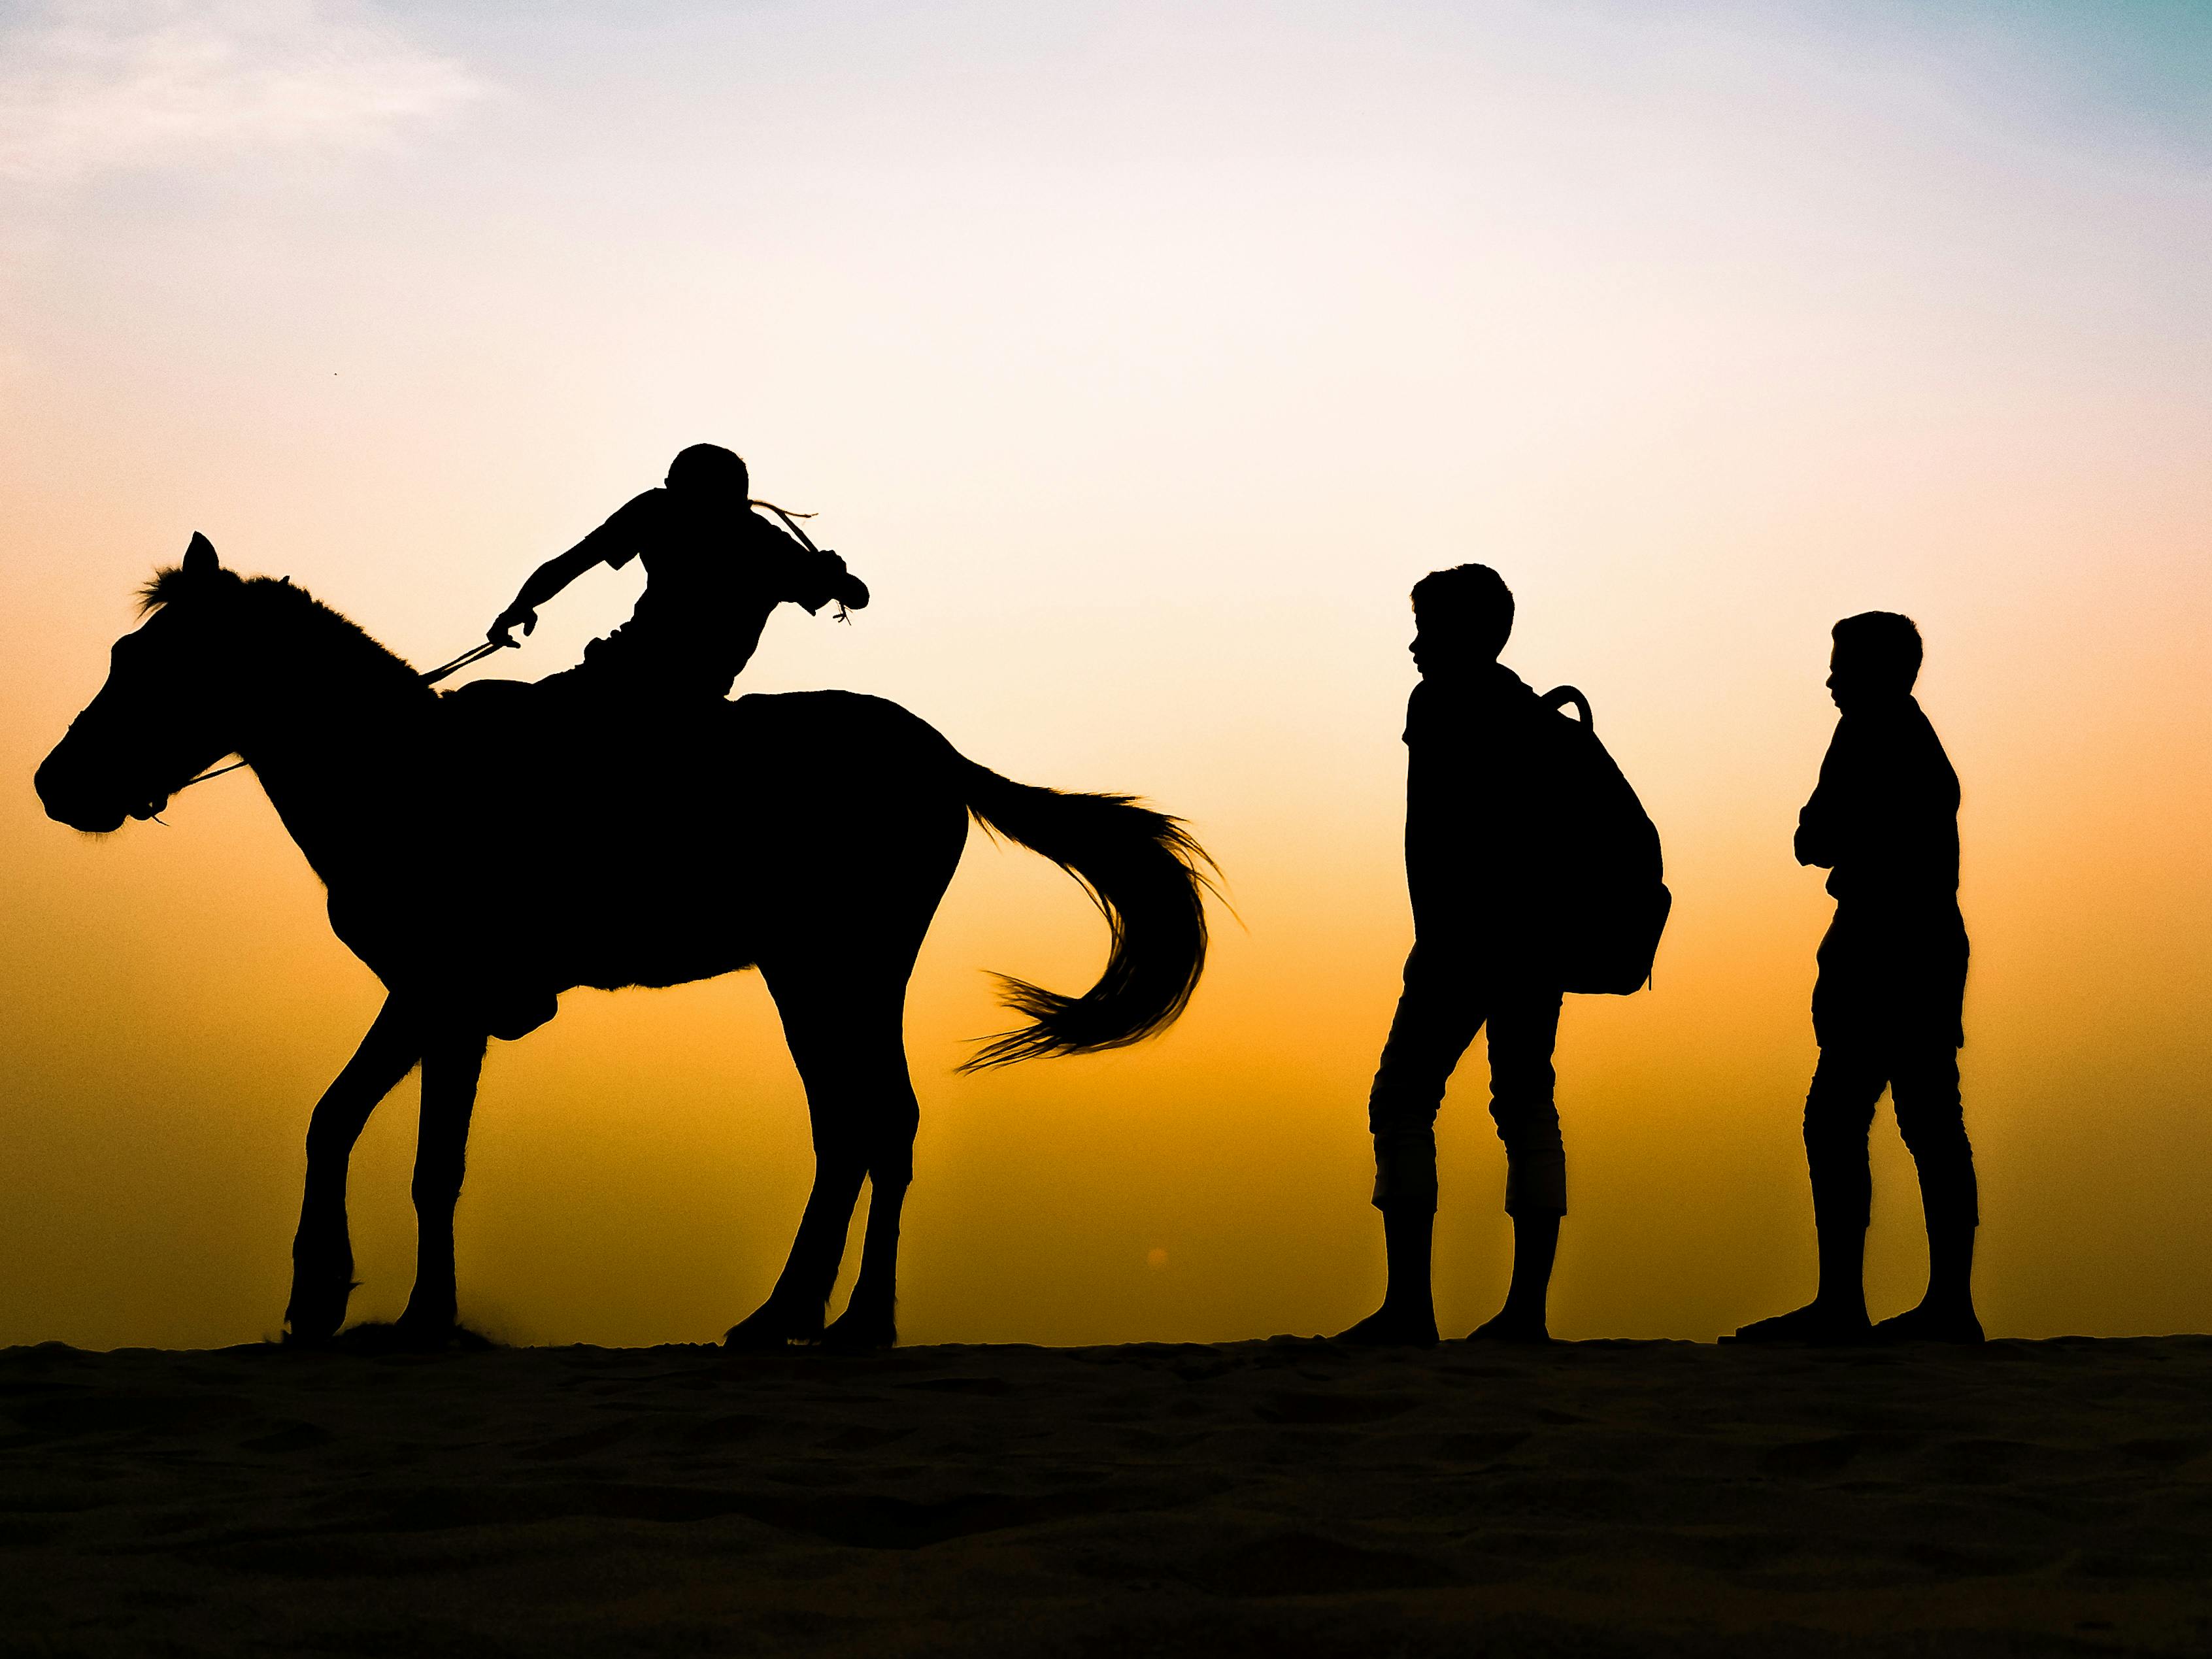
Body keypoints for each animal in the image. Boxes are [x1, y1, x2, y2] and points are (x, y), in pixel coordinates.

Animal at [35, 534, 1213, 1349]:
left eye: (156, 664)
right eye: (123, 650)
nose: (55, 784)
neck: (400, 774)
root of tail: (935, 752)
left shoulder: (447, 996)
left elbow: (430, 1161)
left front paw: (416, 1316)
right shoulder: (425, 995)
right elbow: (339, 1119)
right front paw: (321, 1294)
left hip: (841, 964)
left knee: (873, 1120)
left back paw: (840, 1319)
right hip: (818, 972)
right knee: (856, 1126)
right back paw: (800, 1315)